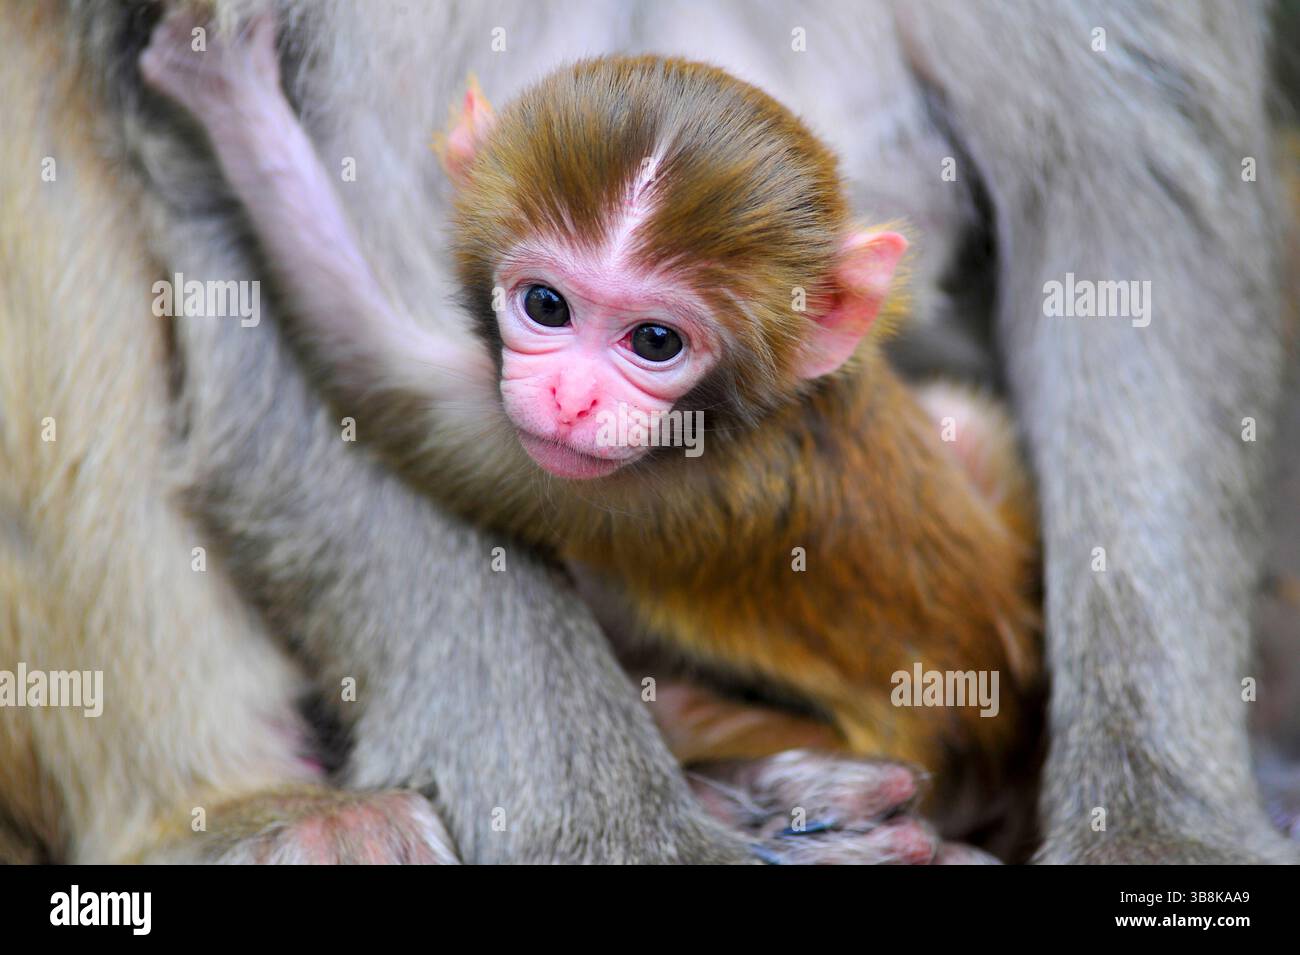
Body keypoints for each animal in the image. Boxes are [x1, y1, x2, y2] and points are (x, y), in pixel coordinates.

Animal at [139, 9, 1043, 828]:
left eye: (654, 340)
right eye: (546, 305)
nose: (573, 398)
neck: (763, 412)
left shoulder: (654, 489)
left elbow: (378, 378)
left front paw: (227, 101)